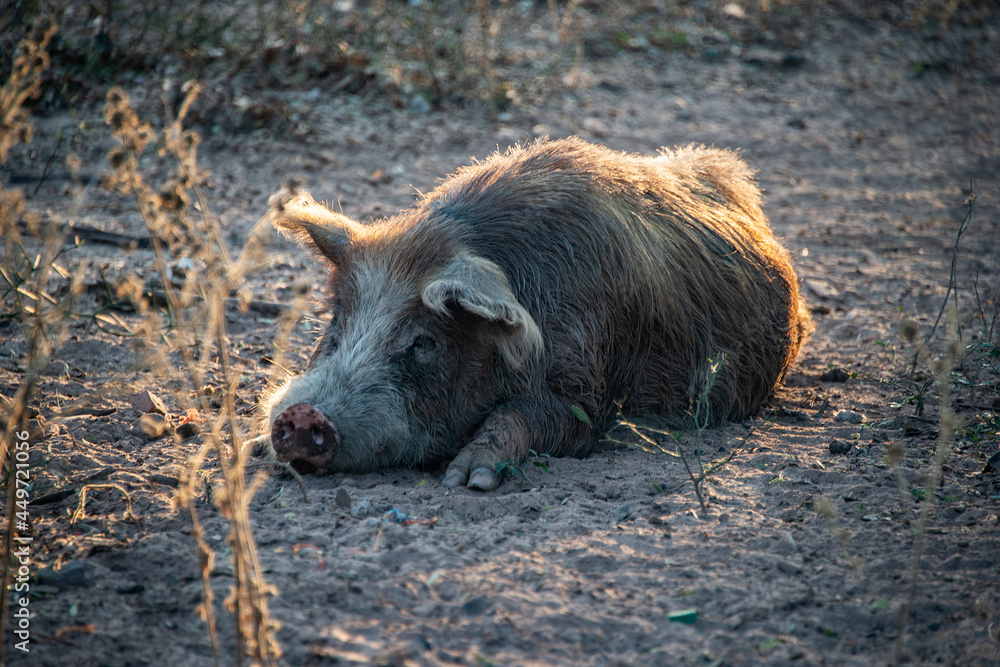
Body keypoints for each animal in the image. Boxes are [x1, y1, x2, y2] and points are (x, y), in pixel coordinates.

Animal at [262, 137, 810, 491]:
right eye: (338, 319)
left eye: (424, 341)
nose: (303, 412)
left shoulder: (589, 393)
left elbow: (531, 416)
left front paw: (467, 479)